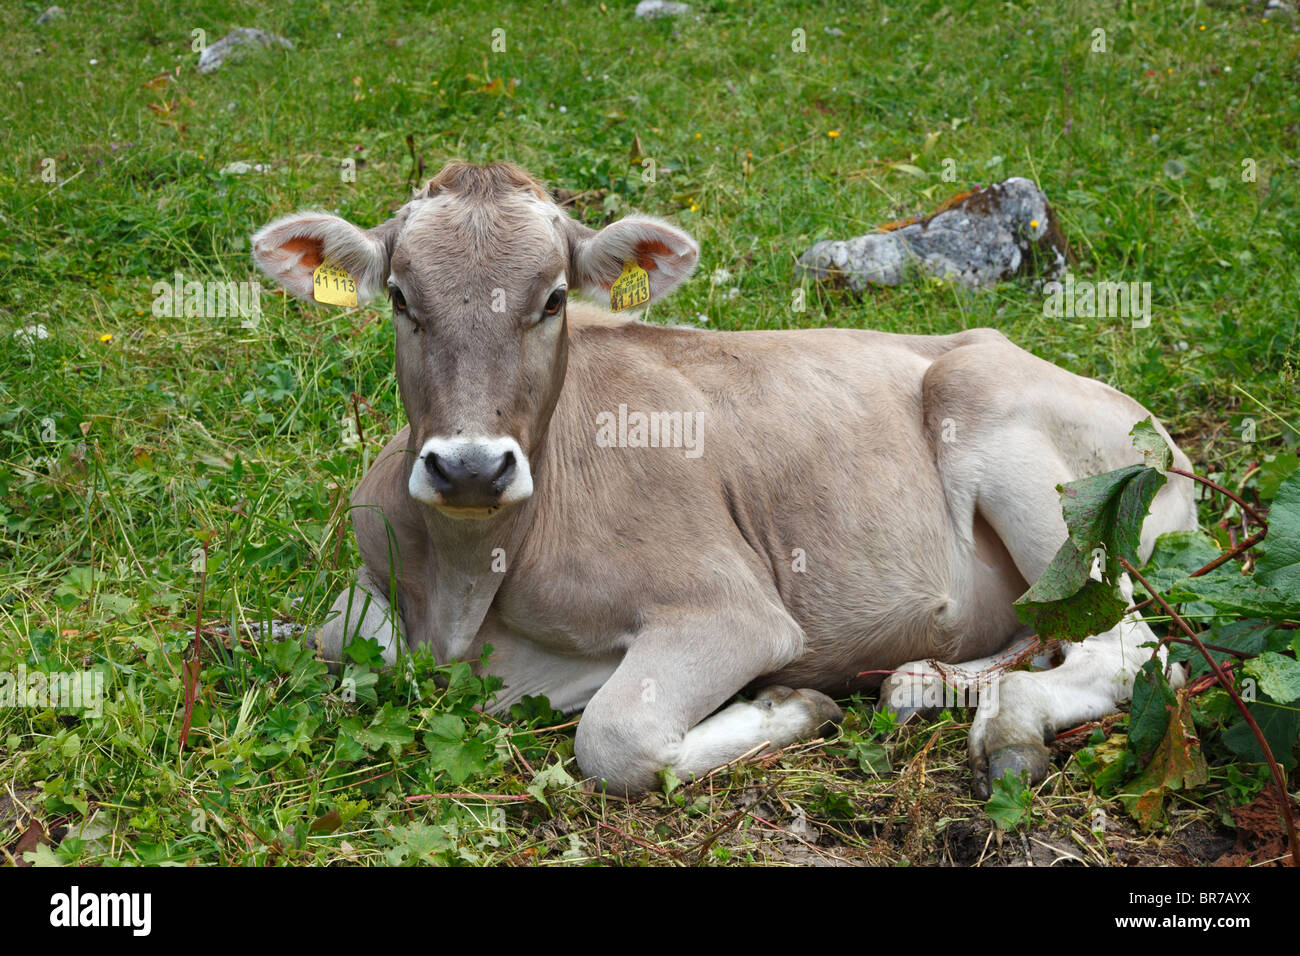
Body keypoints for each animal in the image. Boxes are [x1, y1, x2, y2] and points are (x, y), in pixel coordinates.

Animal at [251, 161, 1197, 797]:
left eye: (553, 298)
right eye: (400, 298)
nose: (471, 466)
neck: (464, 587)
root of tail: (1167, 440)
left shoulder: (730, 610)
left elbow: (615, 740)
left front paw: (793, 707)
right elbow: (333, 639)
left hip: (1014, 436)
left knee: (1132, 650)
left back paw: (1007, 728)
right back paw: (929, 681)